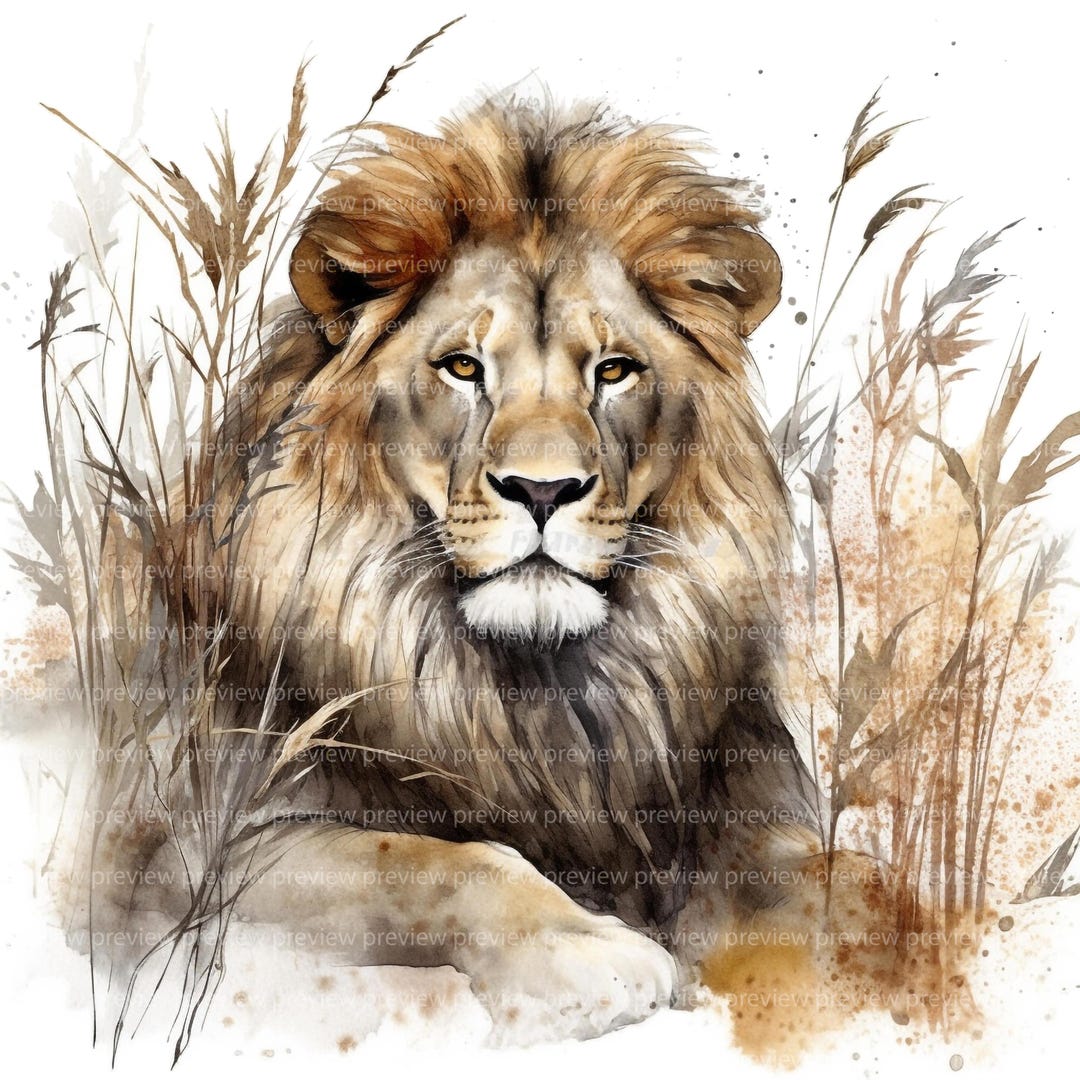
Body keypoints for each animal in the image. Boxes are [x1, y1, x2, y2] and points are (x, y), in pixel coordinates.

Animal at [91, 97, 821, 1045]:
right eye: (464, 367)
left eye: (615, 370)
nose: (543, 489)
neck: (541, 696)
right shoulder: (193, 857)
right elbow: (432, 860)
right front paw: (591, 954)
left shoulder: (757, 808)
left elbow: (834, 879)